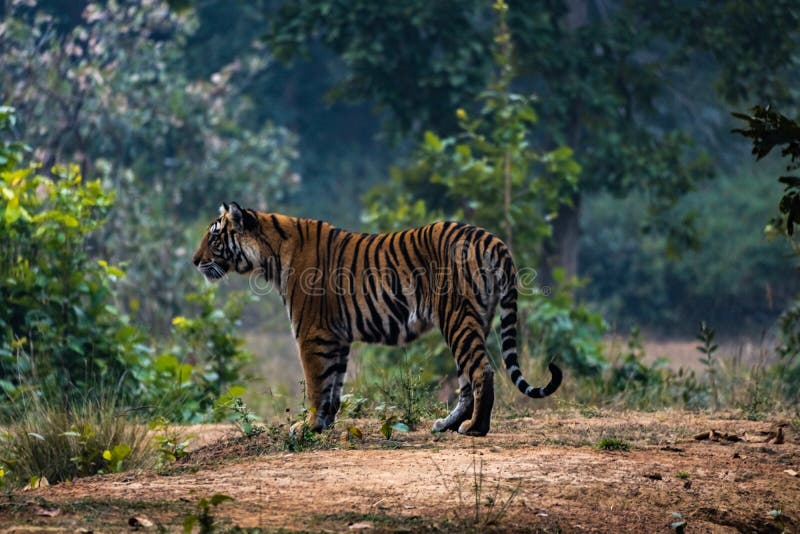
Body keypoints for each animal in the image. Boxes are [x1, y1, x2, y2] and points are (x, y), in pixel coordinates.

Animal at [192, 202, 562, 436]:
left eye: (214, 237)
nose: (194, 261)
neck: (270, 254)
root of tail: (491, 238)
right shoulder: (336, 336)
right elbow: (333, 384)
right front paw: (323, 425)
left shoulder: (311, 333)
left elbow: (315, 384)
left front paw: (307, 427)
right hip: (474, 320)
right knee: (467, 380)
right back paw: (447, 425)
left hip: (456, 317)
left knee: (482, 371)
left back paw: (475, 429)